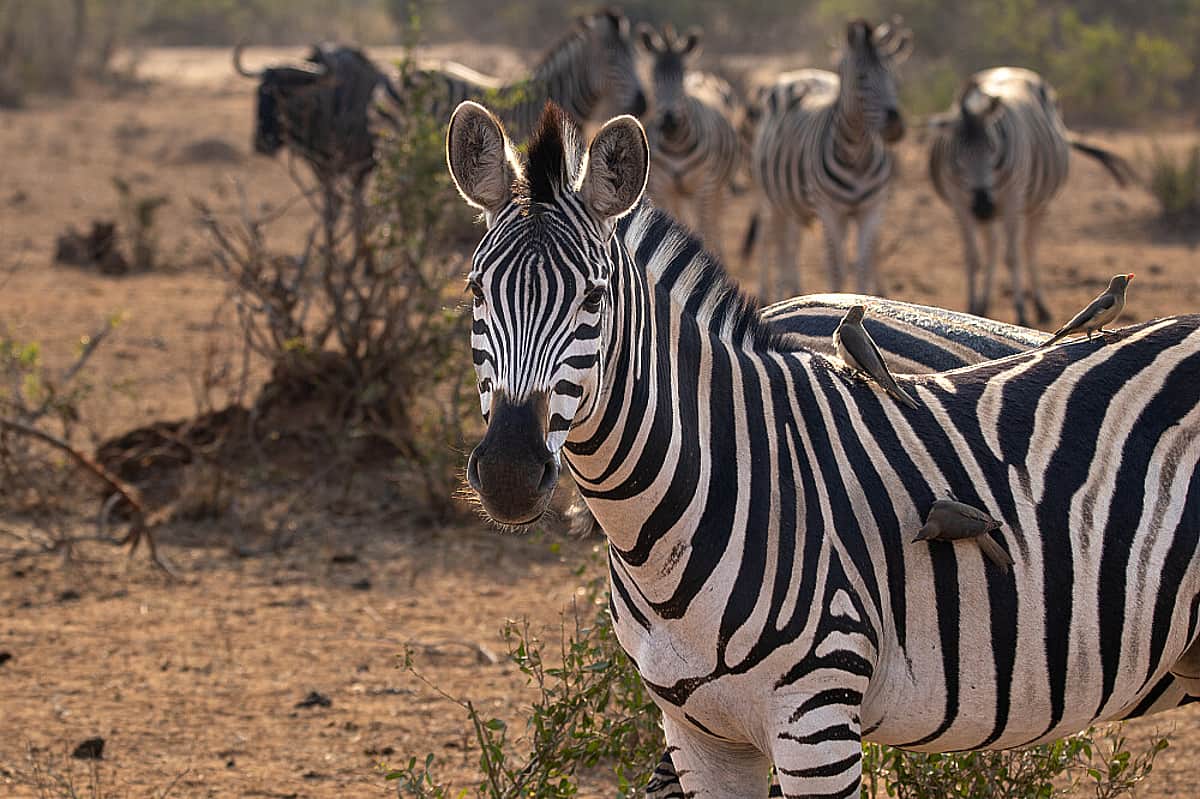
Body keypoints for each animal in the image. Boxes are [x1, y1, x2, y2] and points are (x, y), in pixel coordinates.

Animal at [637, 23, 741, 260]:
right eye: (654, 78)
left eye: (681, 77)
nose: (669, 121)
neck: (675, 144)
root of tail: (702, 76)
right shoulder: (663, 187)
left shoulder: (704, 185)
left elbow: (704, 230)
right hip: (682, 193)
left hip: (719, 187)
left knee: (715, 225)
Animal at [747, 18, 911, 302]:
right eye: (861, 78)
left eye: (896, 79)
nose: (895, 126)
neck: (857, 154)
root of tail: (802, 74)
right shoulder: (830, 210)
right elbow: (837, 267)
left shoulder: (871, 208)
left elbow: (862, 266)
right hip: (771, 198)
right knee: (771, 243)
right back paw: (771, 294)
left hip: (795, 201)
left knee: (791, 244)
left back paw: (794, 290)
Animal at [928, 67, 1135, 326]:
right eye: (957, 155)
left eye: (993, 148)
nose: (983, 206)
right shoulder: (960, 203)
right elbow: (972, 257)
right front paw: (972, 307)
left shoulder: (1012, 197)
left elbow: (1012, 257)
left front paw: (1021, 313)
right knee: (992, 246)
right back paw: (984, 304)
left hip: (1037, 203)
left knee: (1028, 247)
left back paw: (1040, 307)